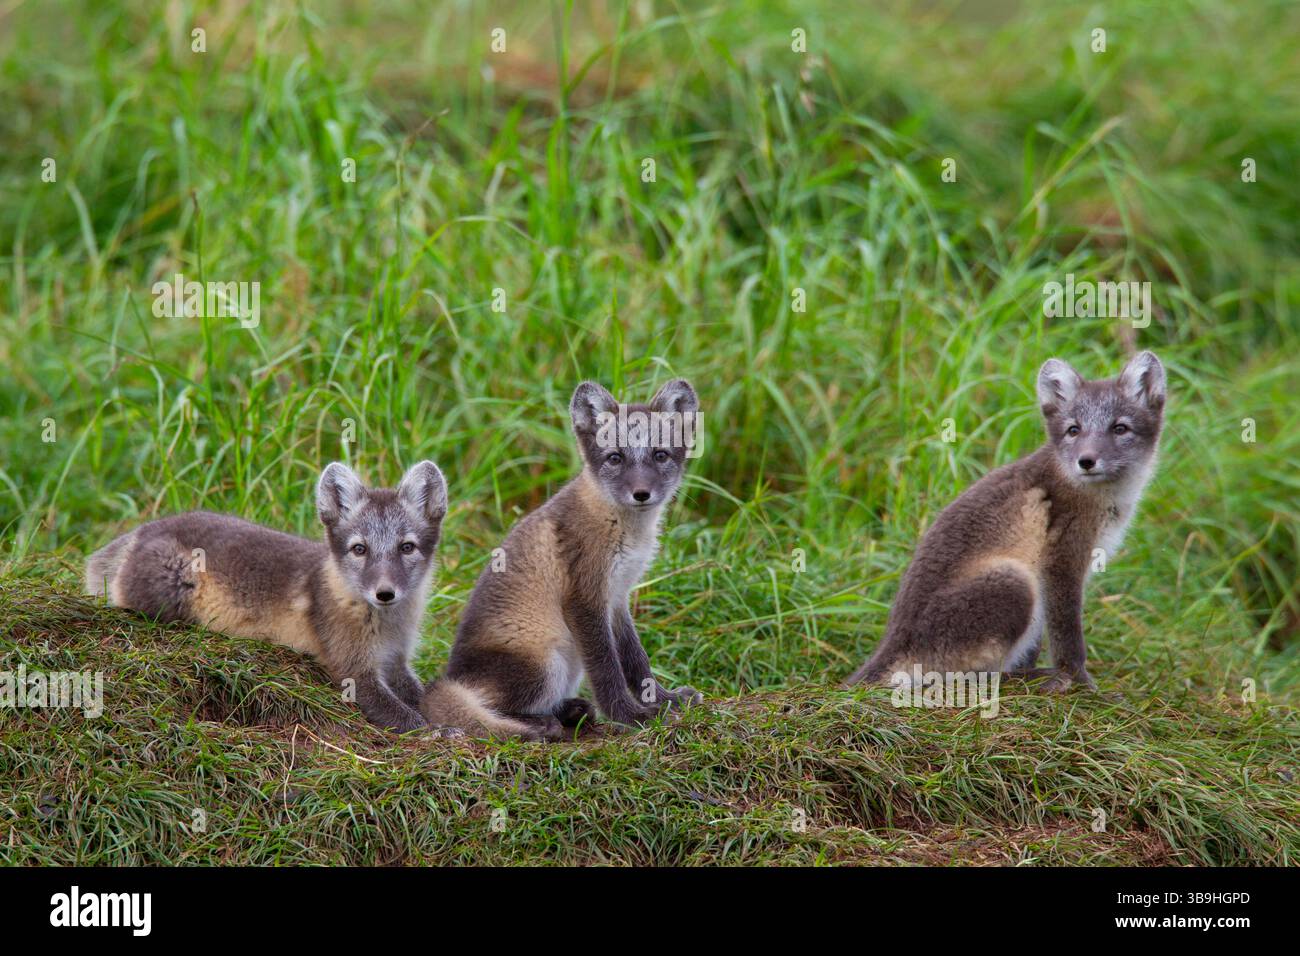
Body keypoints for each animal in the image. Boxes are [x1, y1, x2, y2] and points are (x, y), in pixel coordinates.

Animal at [85, 460, 449, 732]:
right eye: (359, 549)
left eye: (407, 547)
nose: (384, 593)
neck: (388, 625)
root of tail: (139, 533)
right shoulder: (352, 670)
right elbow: (403, 715)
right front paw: (439, 731)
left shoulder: (398, 660)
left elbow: (420, 694)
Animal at [421, 379, 704, 741]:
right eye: (615, 457)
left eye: (660, 455)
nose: (641, 494)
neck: (621, 526)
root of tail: (452, 678)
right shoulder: (584, 598)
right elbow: (607, 668)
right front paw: (630, 715)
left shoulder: (617, 598)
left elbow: (636, 659)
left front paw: (664, 699)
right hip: (547, 663)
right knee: (486, 708)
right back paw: (543, 724)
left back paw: (571, 710)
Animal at [845, 351, 1167, 693]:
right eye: (1073, 430)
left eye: (1120, 428)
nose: (1087, 461)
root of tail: (893, 643)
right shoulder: (1062, 560)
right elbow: (1068, 636)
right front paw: (1081, 683)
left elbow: (1038, 641)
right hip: (1015, 580)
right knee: (974, 677)